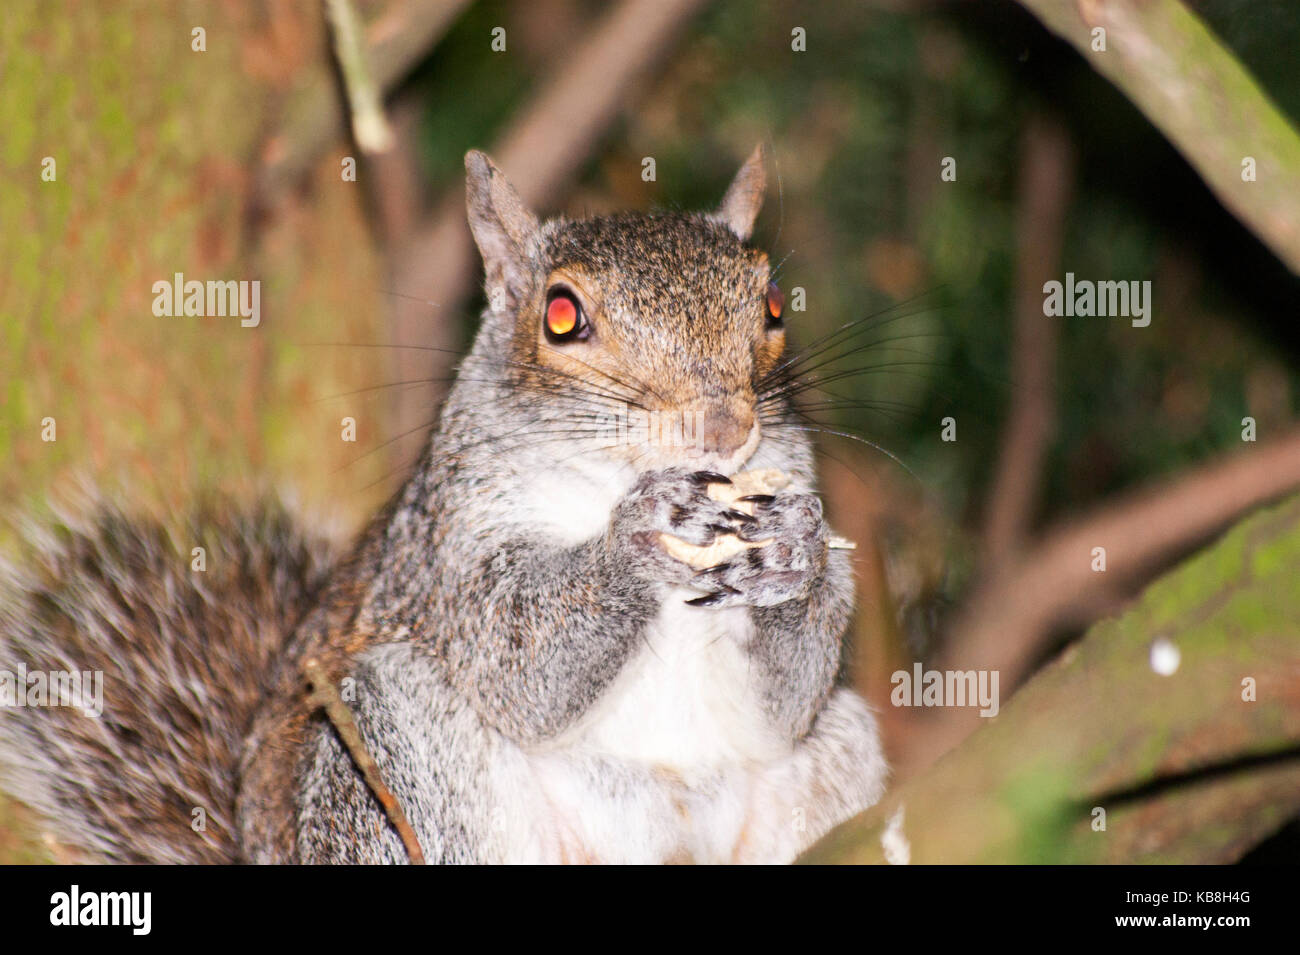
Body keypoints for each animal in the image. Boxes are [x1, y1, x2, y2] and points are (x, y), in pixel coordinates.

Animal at [0, 147, 887, 864]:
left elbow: (783, 707)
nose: (724, 424)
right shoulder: (450, 542)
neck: (611, 472)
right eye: (560, 315)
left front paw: (799, 549)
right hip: (385, 749)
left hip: (842, 752)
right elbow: (514, 654)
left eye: (773, 303)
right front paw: (641, 532)